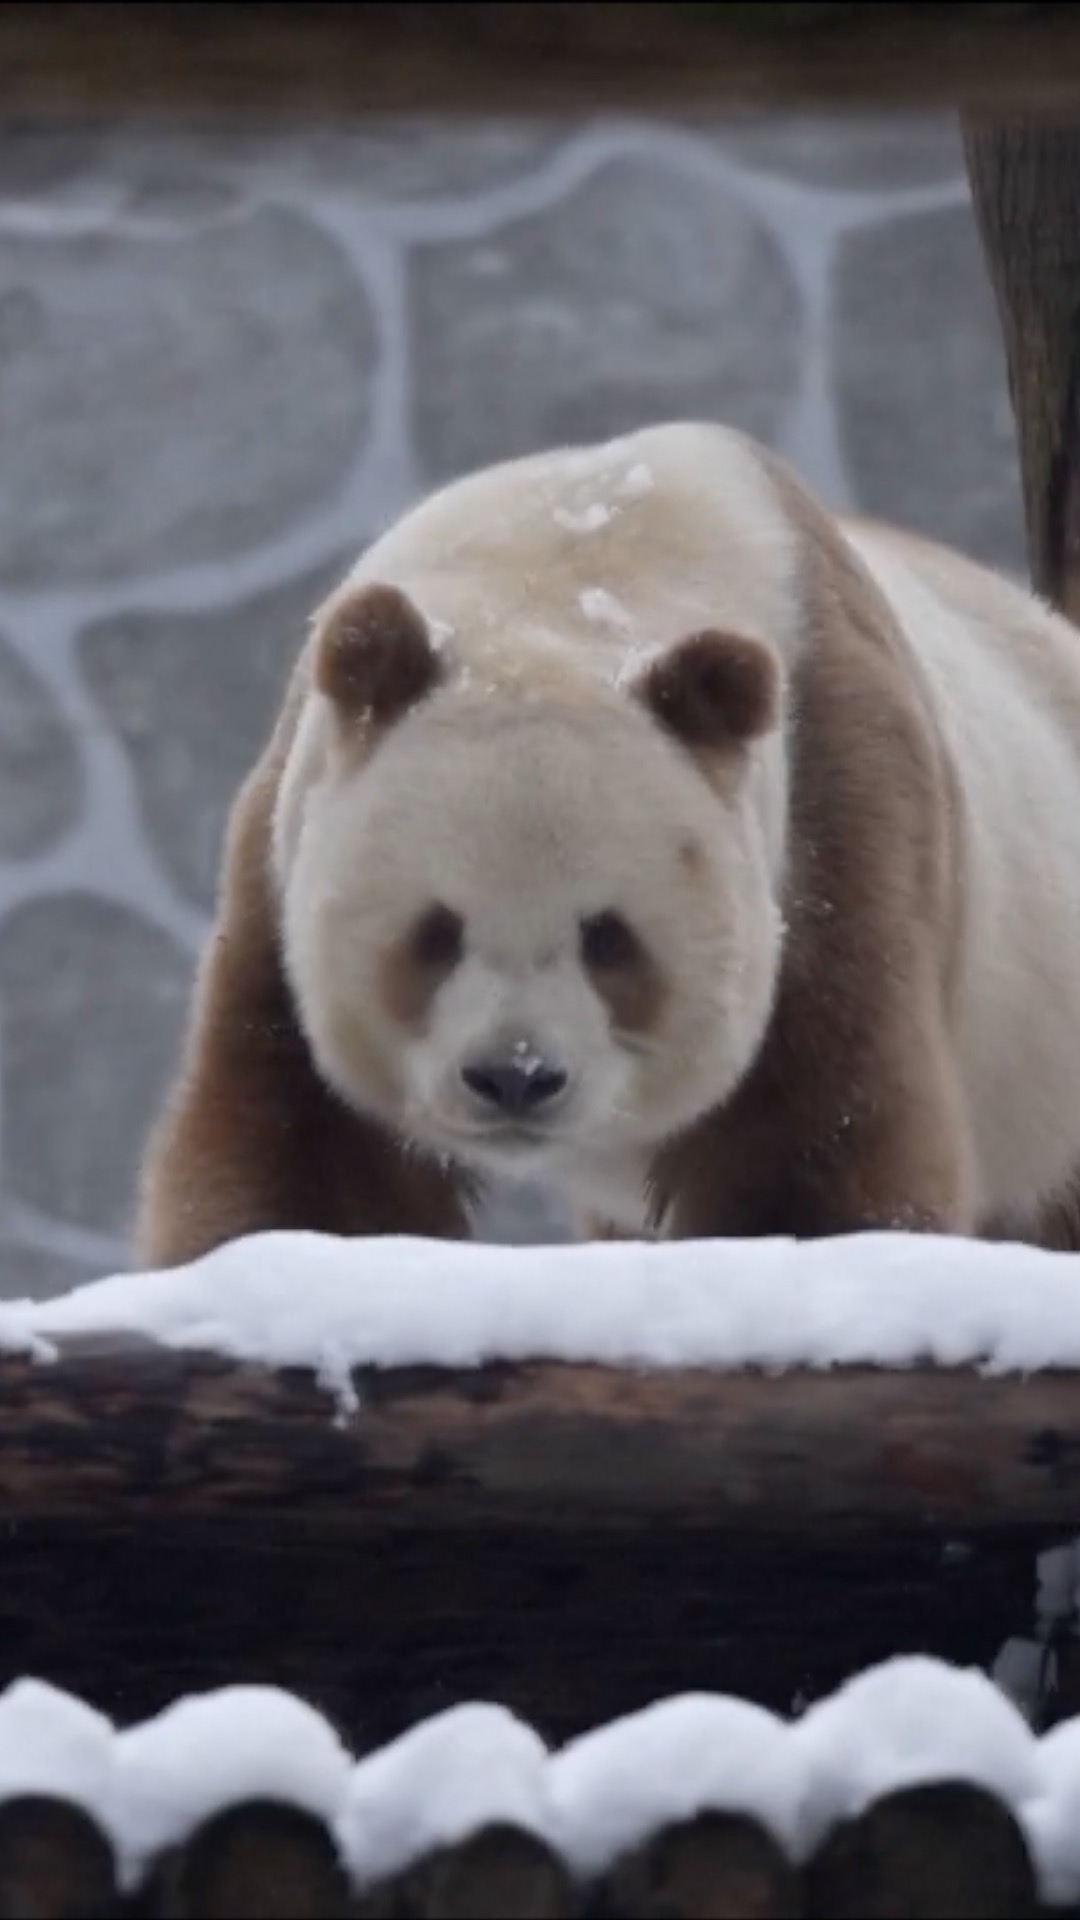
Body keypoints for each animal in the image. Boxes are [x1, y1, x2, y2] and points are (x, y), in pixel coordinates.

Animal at [135, 421, 1080, 1266]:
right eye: (435, 931)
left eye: (610, 938)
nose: (515, 1077)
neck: (573, 565)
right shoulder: (291, 822)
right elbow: (303, 1133)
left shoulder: (836, 807)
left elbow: (817, 1140)